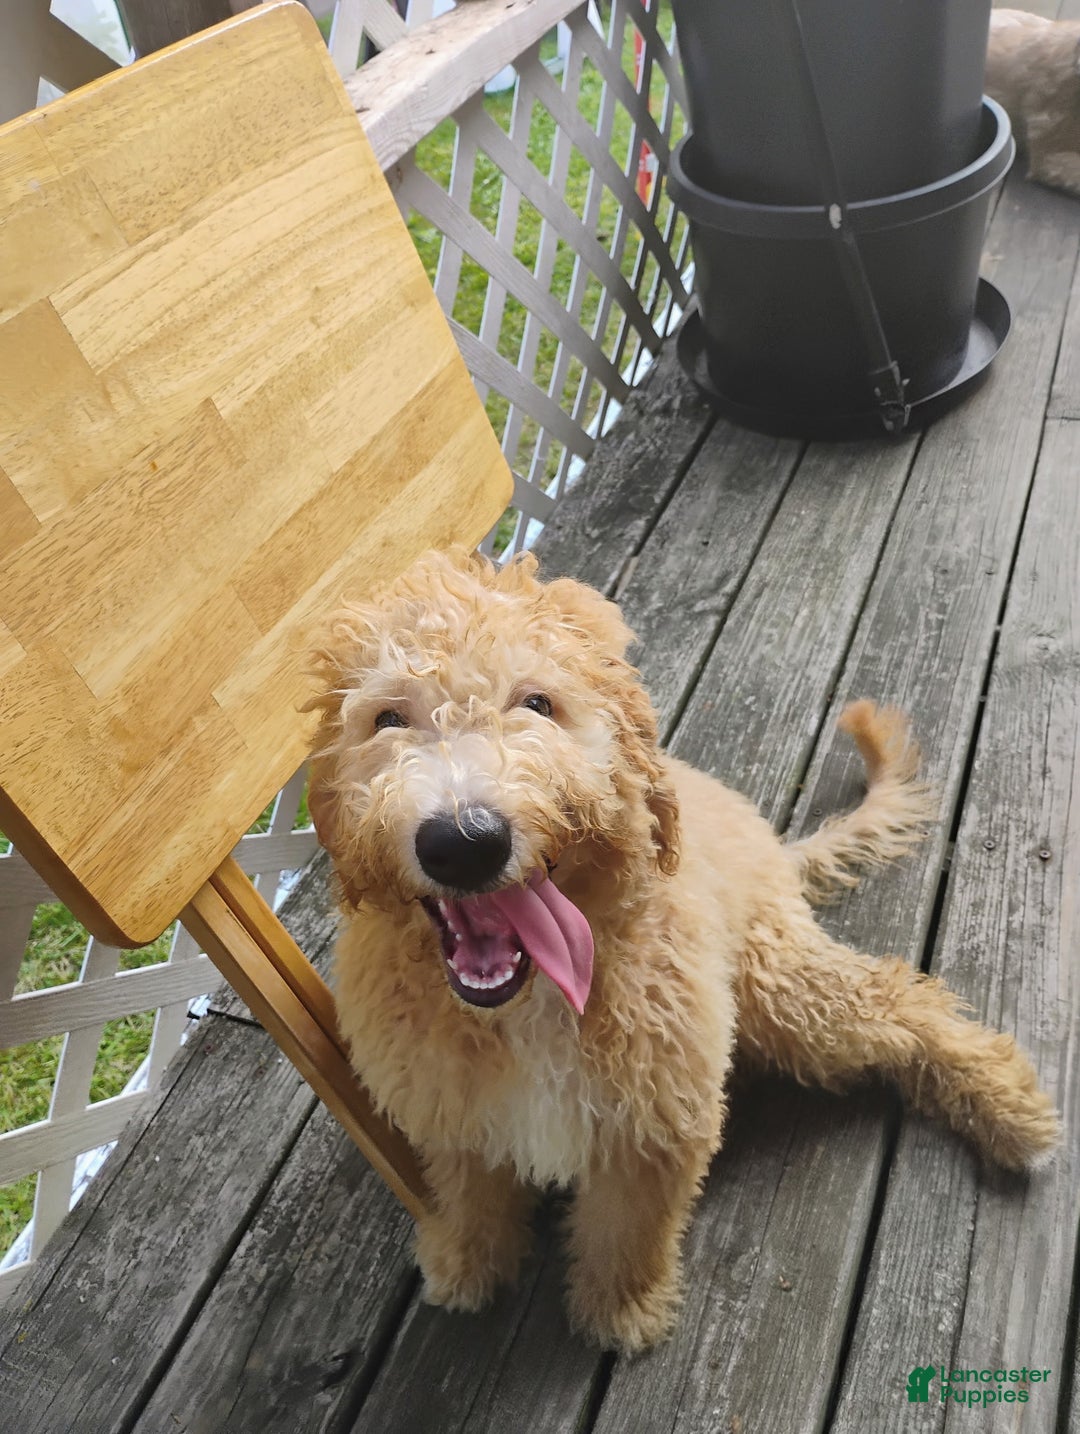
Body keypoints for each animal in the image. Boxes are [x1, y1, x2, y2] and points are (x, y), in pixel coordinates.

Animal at [305, 548, 1059, 1353]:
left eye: (537, 703)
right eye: (386, 717)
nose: (464, 841)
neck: (533, 1006)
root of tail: (771, 842)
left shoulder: (657, 1125)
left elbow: (628, 1229)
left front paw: (621, 1311)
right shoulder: (454, 1117)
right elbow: (472, 1191)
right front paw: (466, 1261)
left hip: (786, 995)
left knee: (901, 999)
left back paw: (1011, 1108)